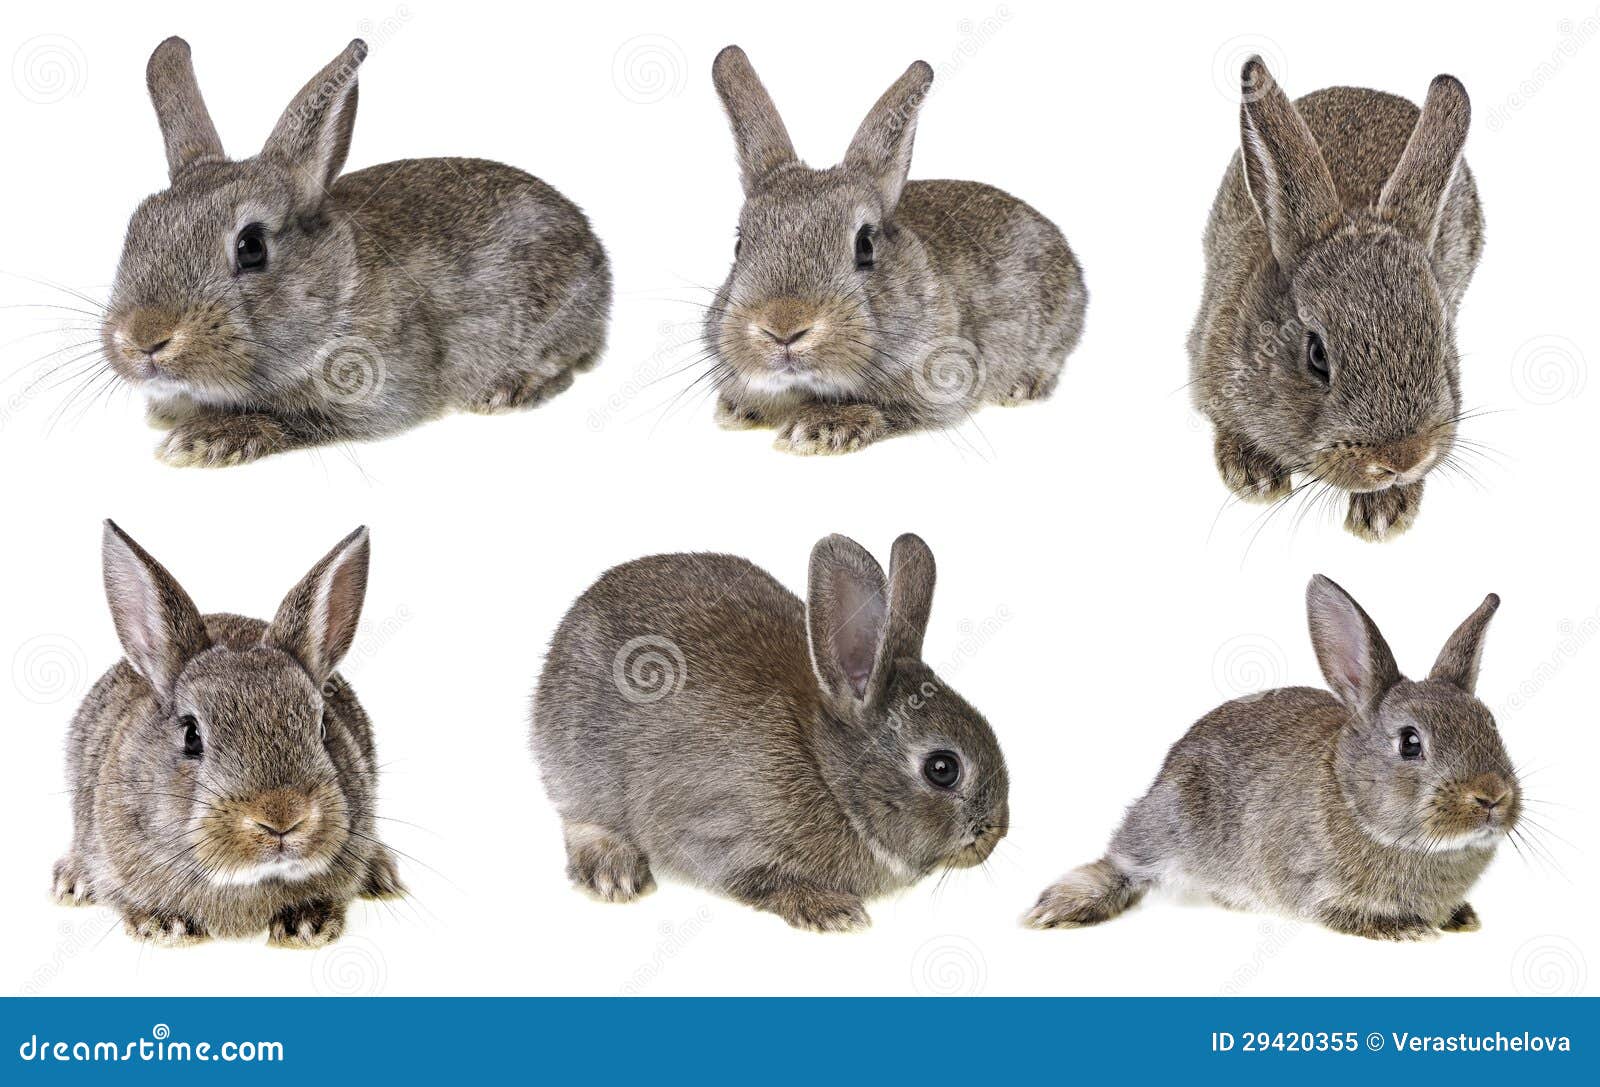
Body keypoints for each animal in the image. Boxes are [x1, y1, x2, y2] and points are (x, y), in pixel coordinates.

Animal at [102, 37, 611, 468]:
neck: (336, 291)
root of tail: (596, 251)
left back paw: (508, 391)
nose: (144, 339)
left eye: (251, 247)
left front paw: (200, 441)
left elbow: (297, 421)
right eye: (137, 227)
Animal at [531, 533, 1009, 931]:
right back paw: (614, 873)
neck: (825, 769)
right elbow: (758, 880)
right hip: (577, 761)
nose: (995, 831)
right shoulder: (721, 832)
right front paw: (831, 912)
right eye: (942, 769)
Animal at [1026, 575, 1520, 942]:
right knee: (1125, 864)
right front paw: (1404, 931)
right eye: (1410, 743)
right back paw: (1063, 906)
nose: (1492, 796)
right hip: (1167, 822)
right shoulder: (1308, 882)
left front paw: (1459, 918)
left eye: (1490, 725)